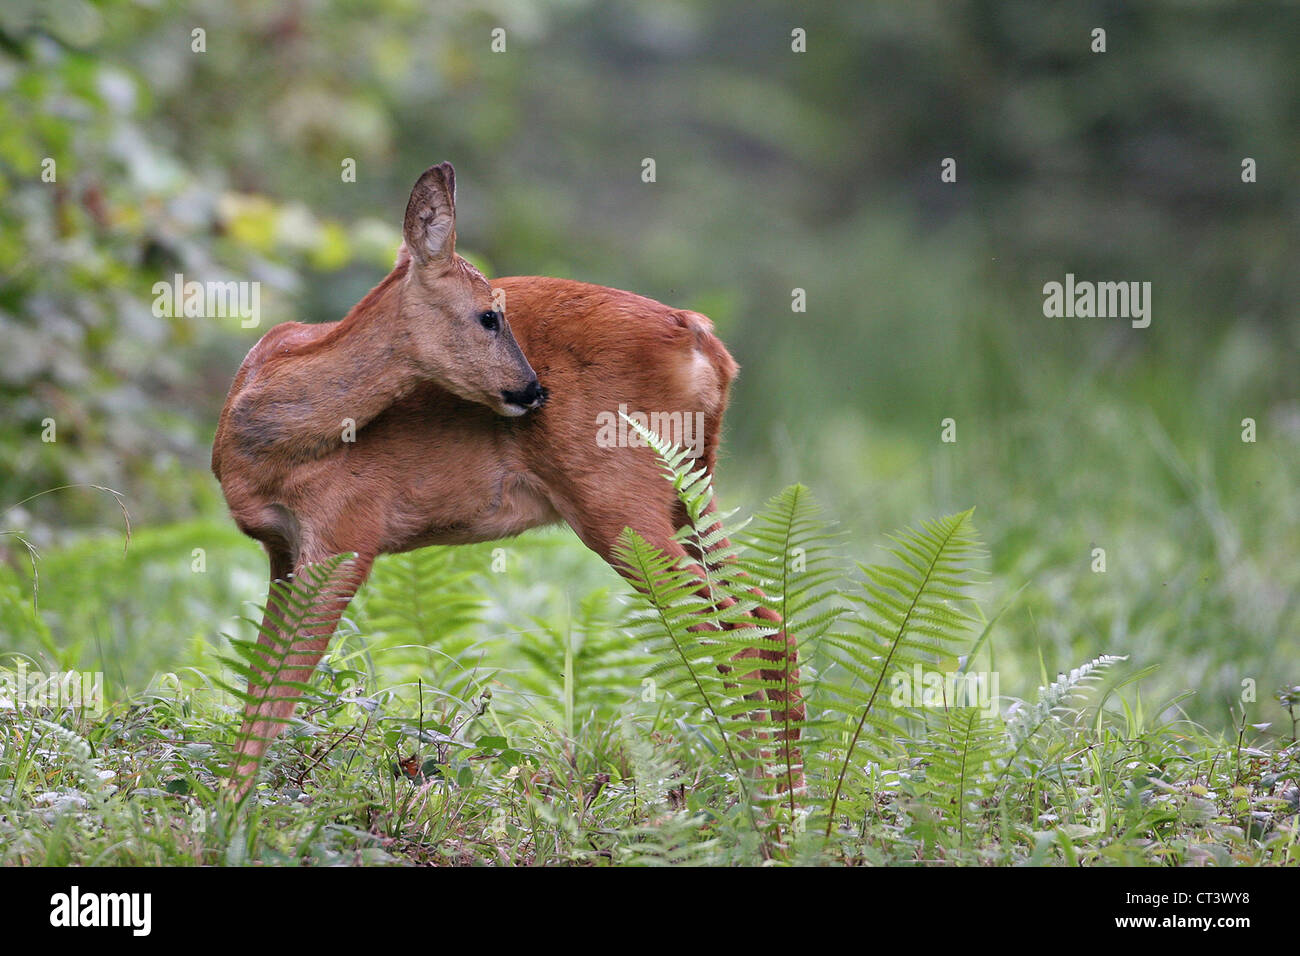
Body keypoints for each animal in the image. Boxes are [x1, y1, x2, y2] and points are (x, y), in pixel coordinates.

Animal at [211, 163, 803, 797]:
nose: (533, 390)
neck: (270, 429)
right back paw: (792, 801)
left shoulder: (347, 537)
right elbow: (258, 686)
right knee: (767, 621)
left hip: (620, 502)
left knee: (734, 629)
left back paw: (763, 801)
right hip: (690, 495)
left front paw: (235, 809)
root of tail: (702, 336)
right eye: (489, 315)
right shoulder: (281, 550)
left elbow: (278, 694)